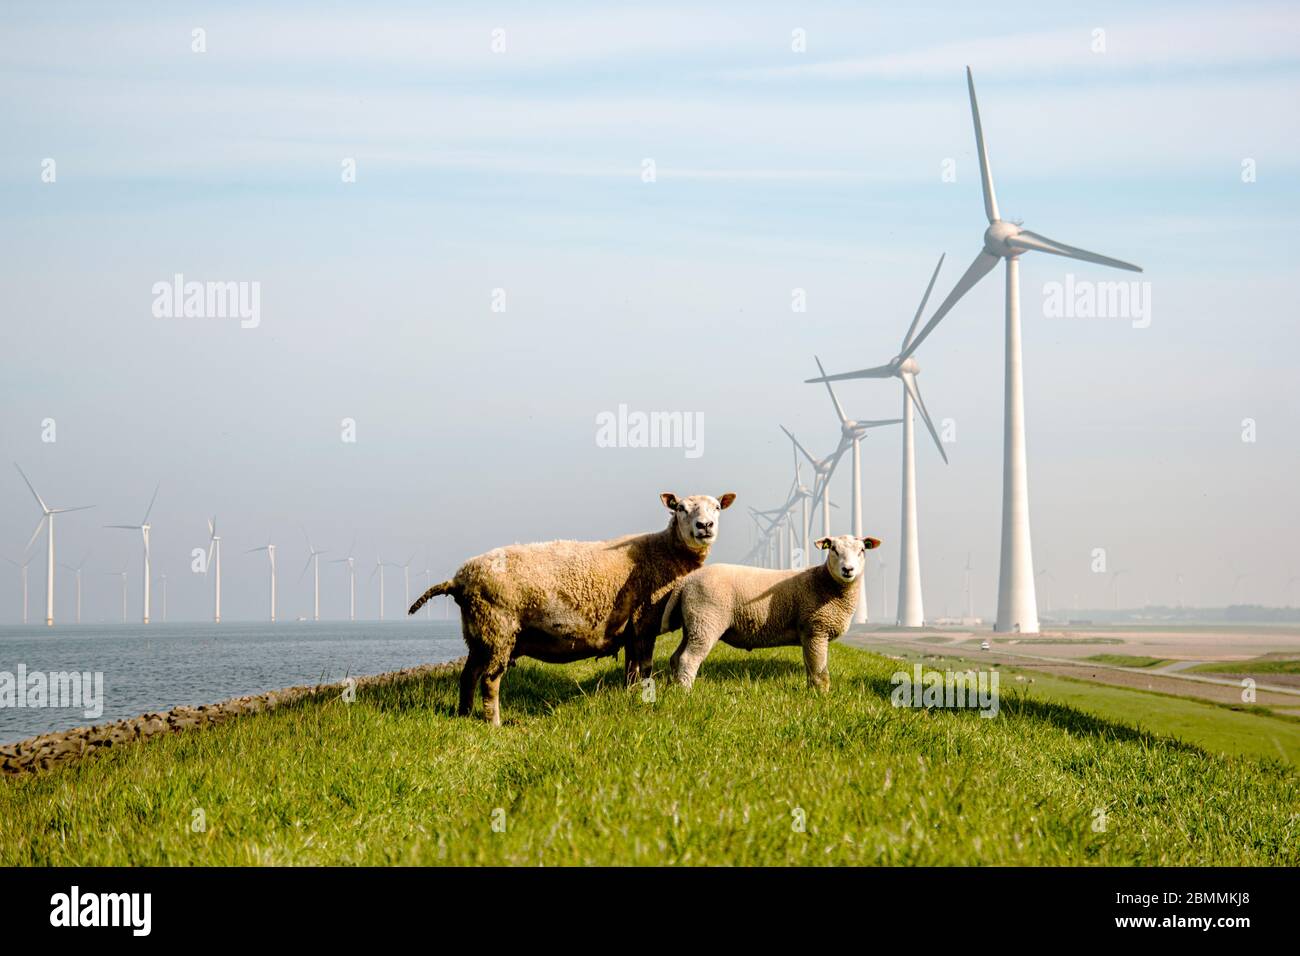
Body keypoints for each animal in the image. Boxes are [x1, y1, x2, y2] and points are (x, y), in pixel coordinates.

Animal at [408, 491, 736, 725]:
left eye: (717, 508)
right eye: (680, 507)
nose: (704, 526)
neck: (665, 552)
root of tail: (459, 579)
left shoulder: (631, 628)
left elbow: (631, 671)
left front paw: (630, 696)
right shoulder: (644, 622)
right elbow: (644, 669)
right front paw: (645, 696)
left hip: (479, 633)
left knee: (468, 676)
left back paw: (463, 715)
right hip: (499, 629)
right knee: (489, 679)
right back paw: (494, 723)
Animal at [662, 533, 881, 692]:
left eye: (862, 550)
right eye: (834, 549)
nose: (848, 570)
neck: (825, 583)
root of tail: (687, 581)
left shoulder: (809, 633)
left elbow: (811, 667)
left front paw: (812, 692)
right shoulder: (816, 629)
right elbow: (819, 669)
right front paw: (821, 695)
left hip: (693, 623)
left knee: (676, 657)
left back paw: (673, 685)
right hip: (706, 620)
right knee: (689, 659)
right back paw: (685, 691)